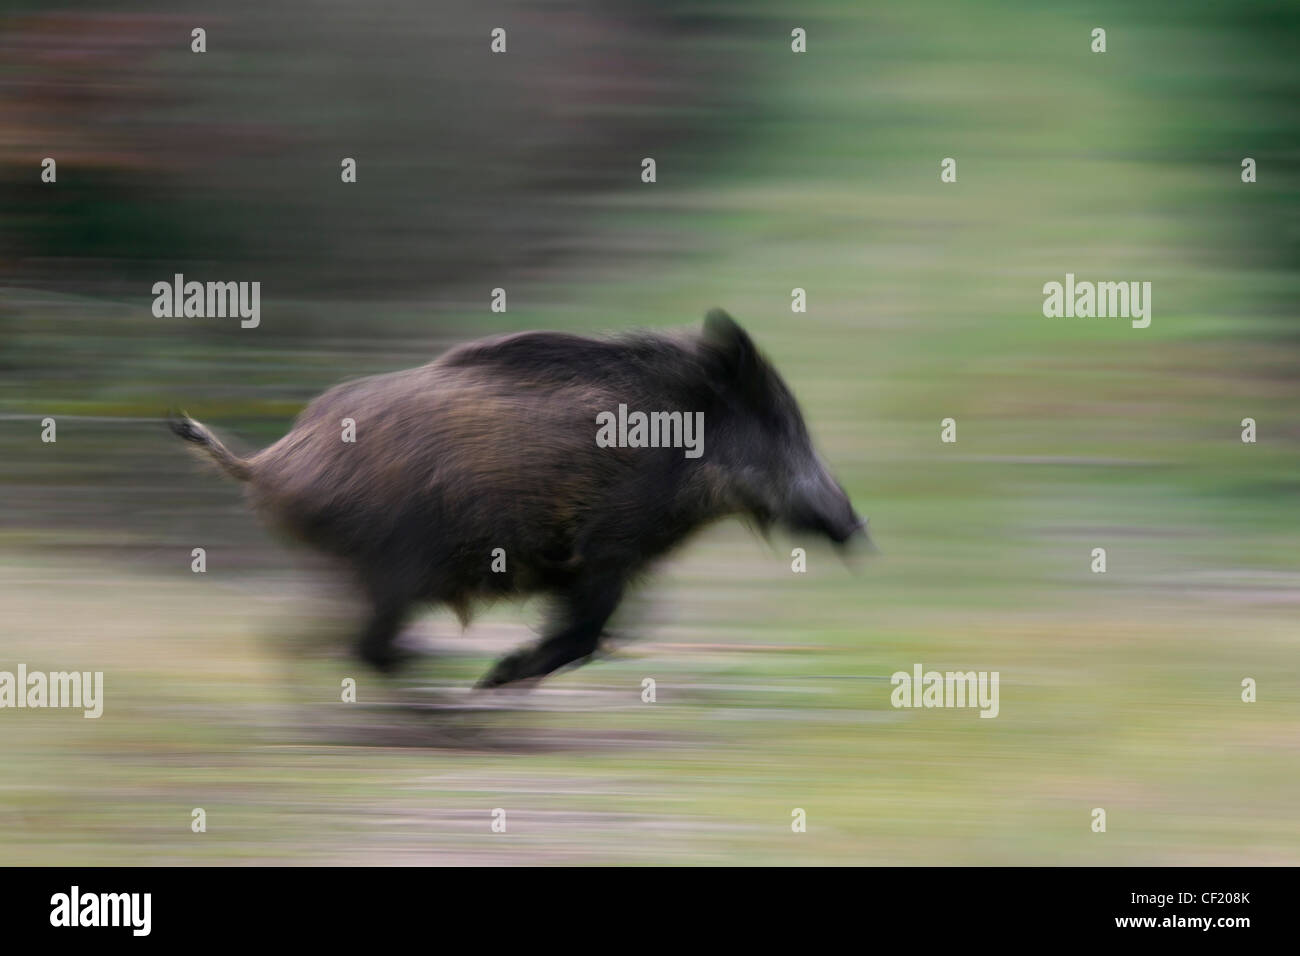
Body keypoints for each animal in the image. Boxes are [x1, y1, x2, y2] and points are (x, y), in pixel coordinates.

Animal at [170, 309, 866, 687]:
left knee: (294, 640)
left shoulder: (615, 560)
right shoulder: (605, 548)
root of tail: (268, 461)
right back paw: (454, 708)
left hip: (344, 571)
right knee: (367, 649)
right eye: (778, 422)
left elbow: (619, 629)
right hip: (391, 567)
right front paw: (497, 677)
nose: (857, 528)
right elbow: (587, 634)